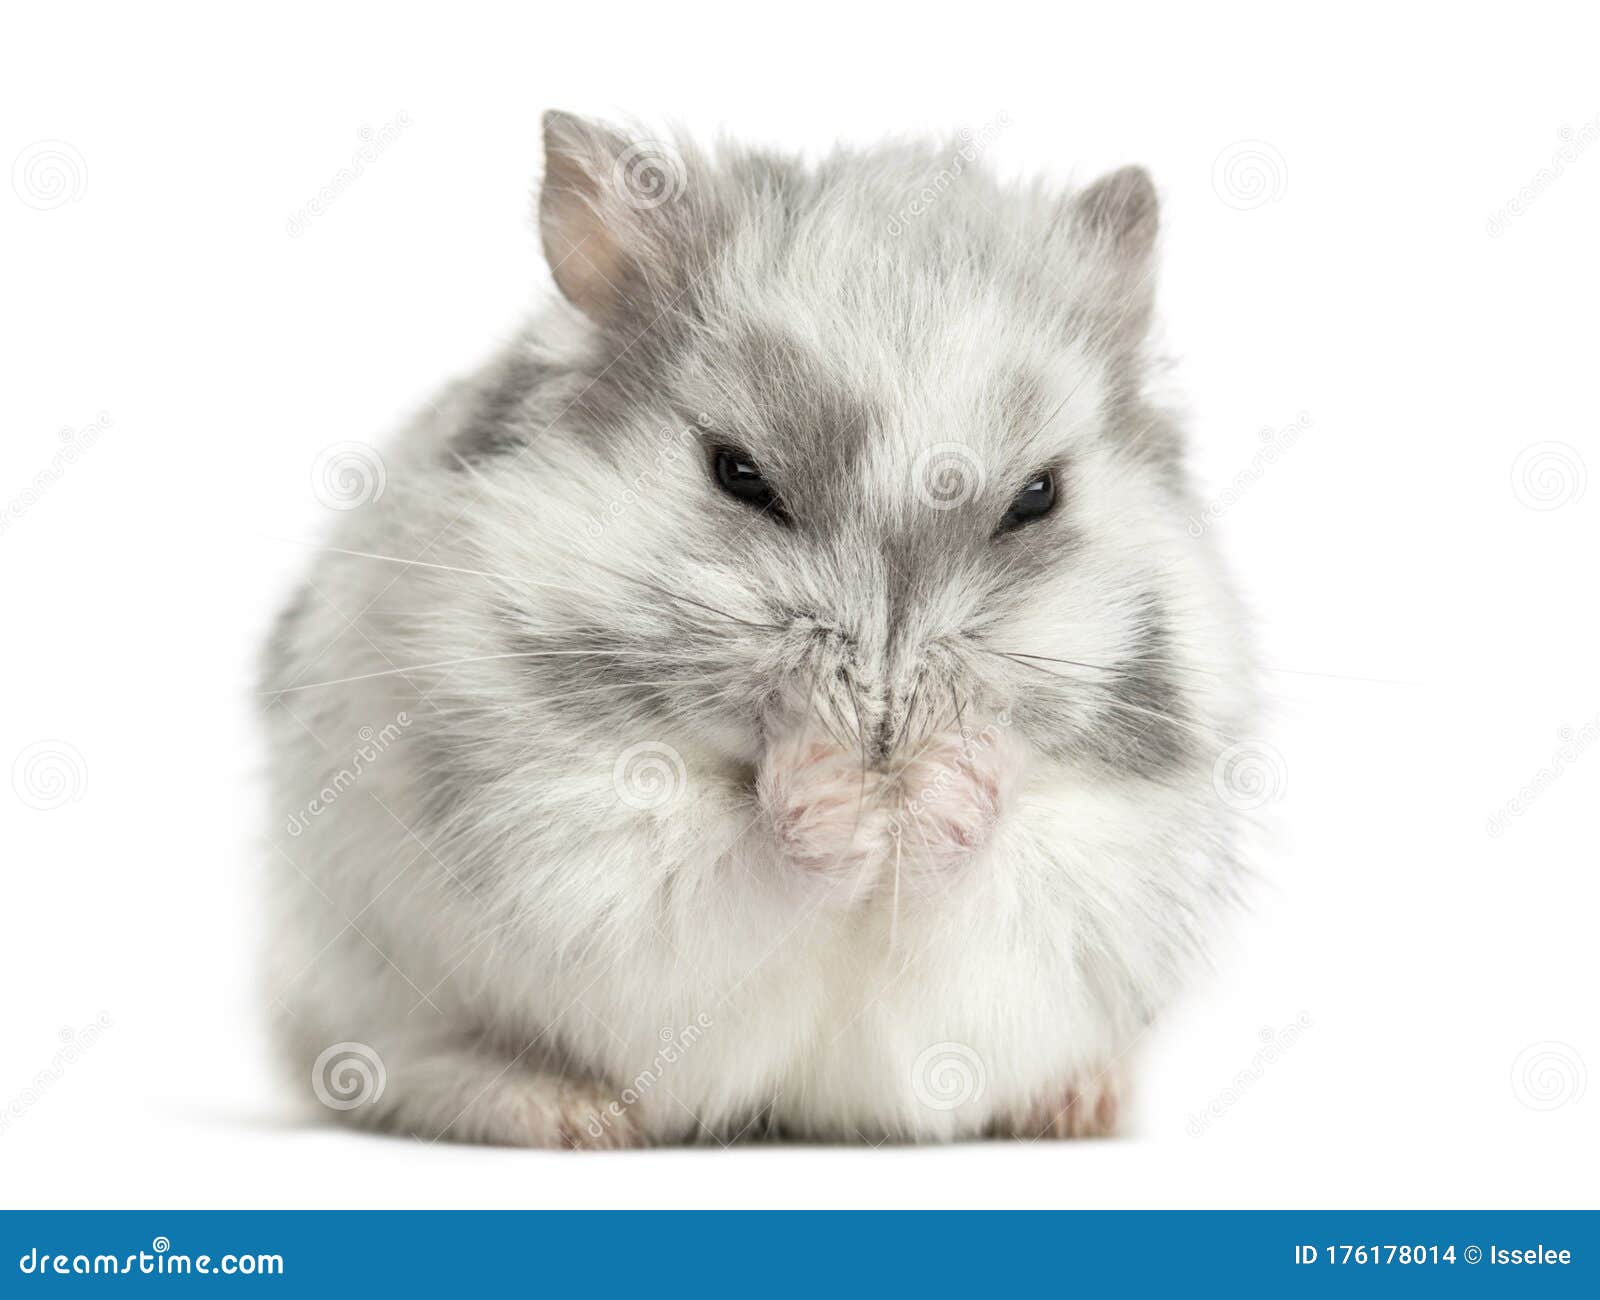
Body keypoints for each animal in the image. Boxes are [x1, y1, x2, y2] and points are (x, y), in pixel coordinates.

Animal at [260, 111, 1255, 1146]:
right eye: (739, 473)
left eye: (1038, 496)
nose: (883, 718)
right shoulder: (574, 834)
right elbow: (739, 862)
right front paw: (826, 782)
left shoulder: (1097, 871)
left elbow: (985, 865)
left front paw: (944, 777)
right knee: (387, 1066)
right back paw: (564, 1111)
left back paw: (1084, 1100)